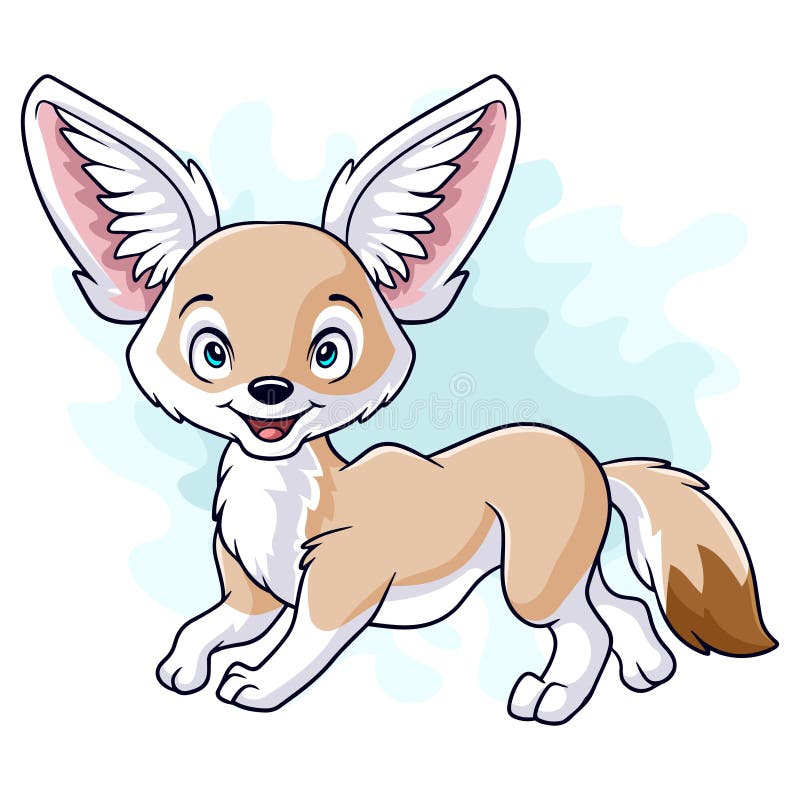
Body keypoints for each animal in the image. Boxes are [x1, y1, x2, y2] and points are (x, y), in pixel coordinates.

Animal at [22, 73, 776, 724]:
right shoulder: (252, 591)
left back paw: (553, 699)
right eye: (212, 353)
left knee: (586, 629)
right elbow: (205, 628)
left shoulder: (339, 587)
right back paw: (649, 671)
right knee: (621, 607)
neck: (278, 497)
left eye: (329, 353)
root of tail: (593, 460)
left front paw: (255, 684)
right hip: (561, 571)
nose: (271, 391)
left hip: (531, 581)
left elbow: (297, 651)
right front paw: (186, 667)